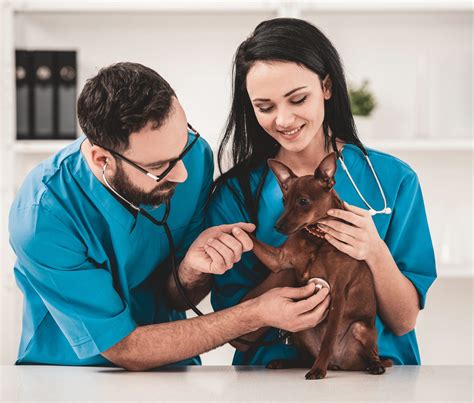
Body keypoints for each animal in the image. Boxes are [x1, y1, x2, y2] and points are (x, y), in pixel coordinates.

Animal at [250, 153, 390, 380]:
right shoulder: (279, 259)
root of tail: (341, 363)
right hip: (300, 330)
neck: (318, 237)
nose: (277, 227)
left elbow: (328, 339)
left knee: (373, 354)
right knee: (304, 357)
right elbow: (249, 239)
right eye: (283, 201)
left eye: (303, 201)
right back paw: (284, 362)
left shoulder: (338, 294)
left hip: (361, 328)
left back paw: (374, 365)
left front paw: (318, 370)